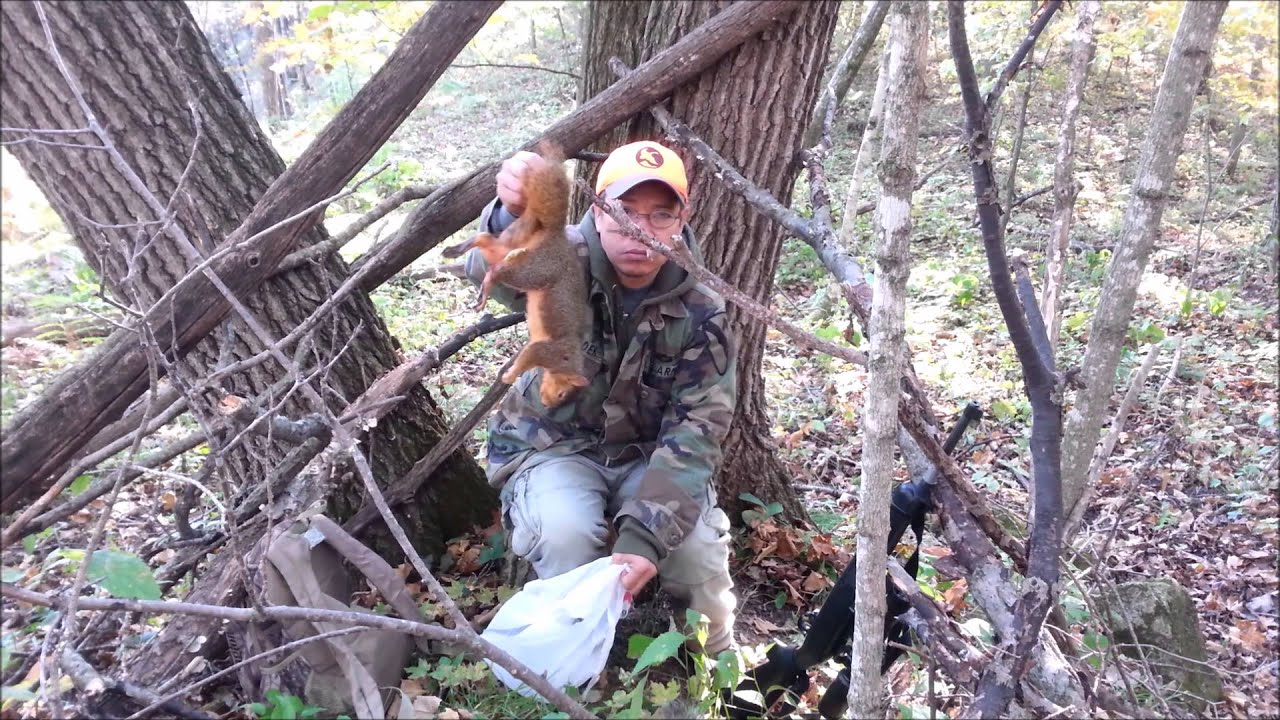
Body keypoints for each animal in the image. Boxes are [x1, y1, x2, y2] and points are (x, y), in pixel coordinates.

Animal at [442, 142, 588, 407]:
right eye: (562, 393)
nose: (547, 404)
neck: (569, 360)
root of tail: (556, 236)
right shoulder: (548, 351)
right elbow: (526, 358)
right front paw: (510, 375)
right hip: (537, 269)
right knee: (497, 271)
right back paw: (485, 287)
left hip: (510, 244)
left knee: (484, 239)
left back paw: (455, 250)